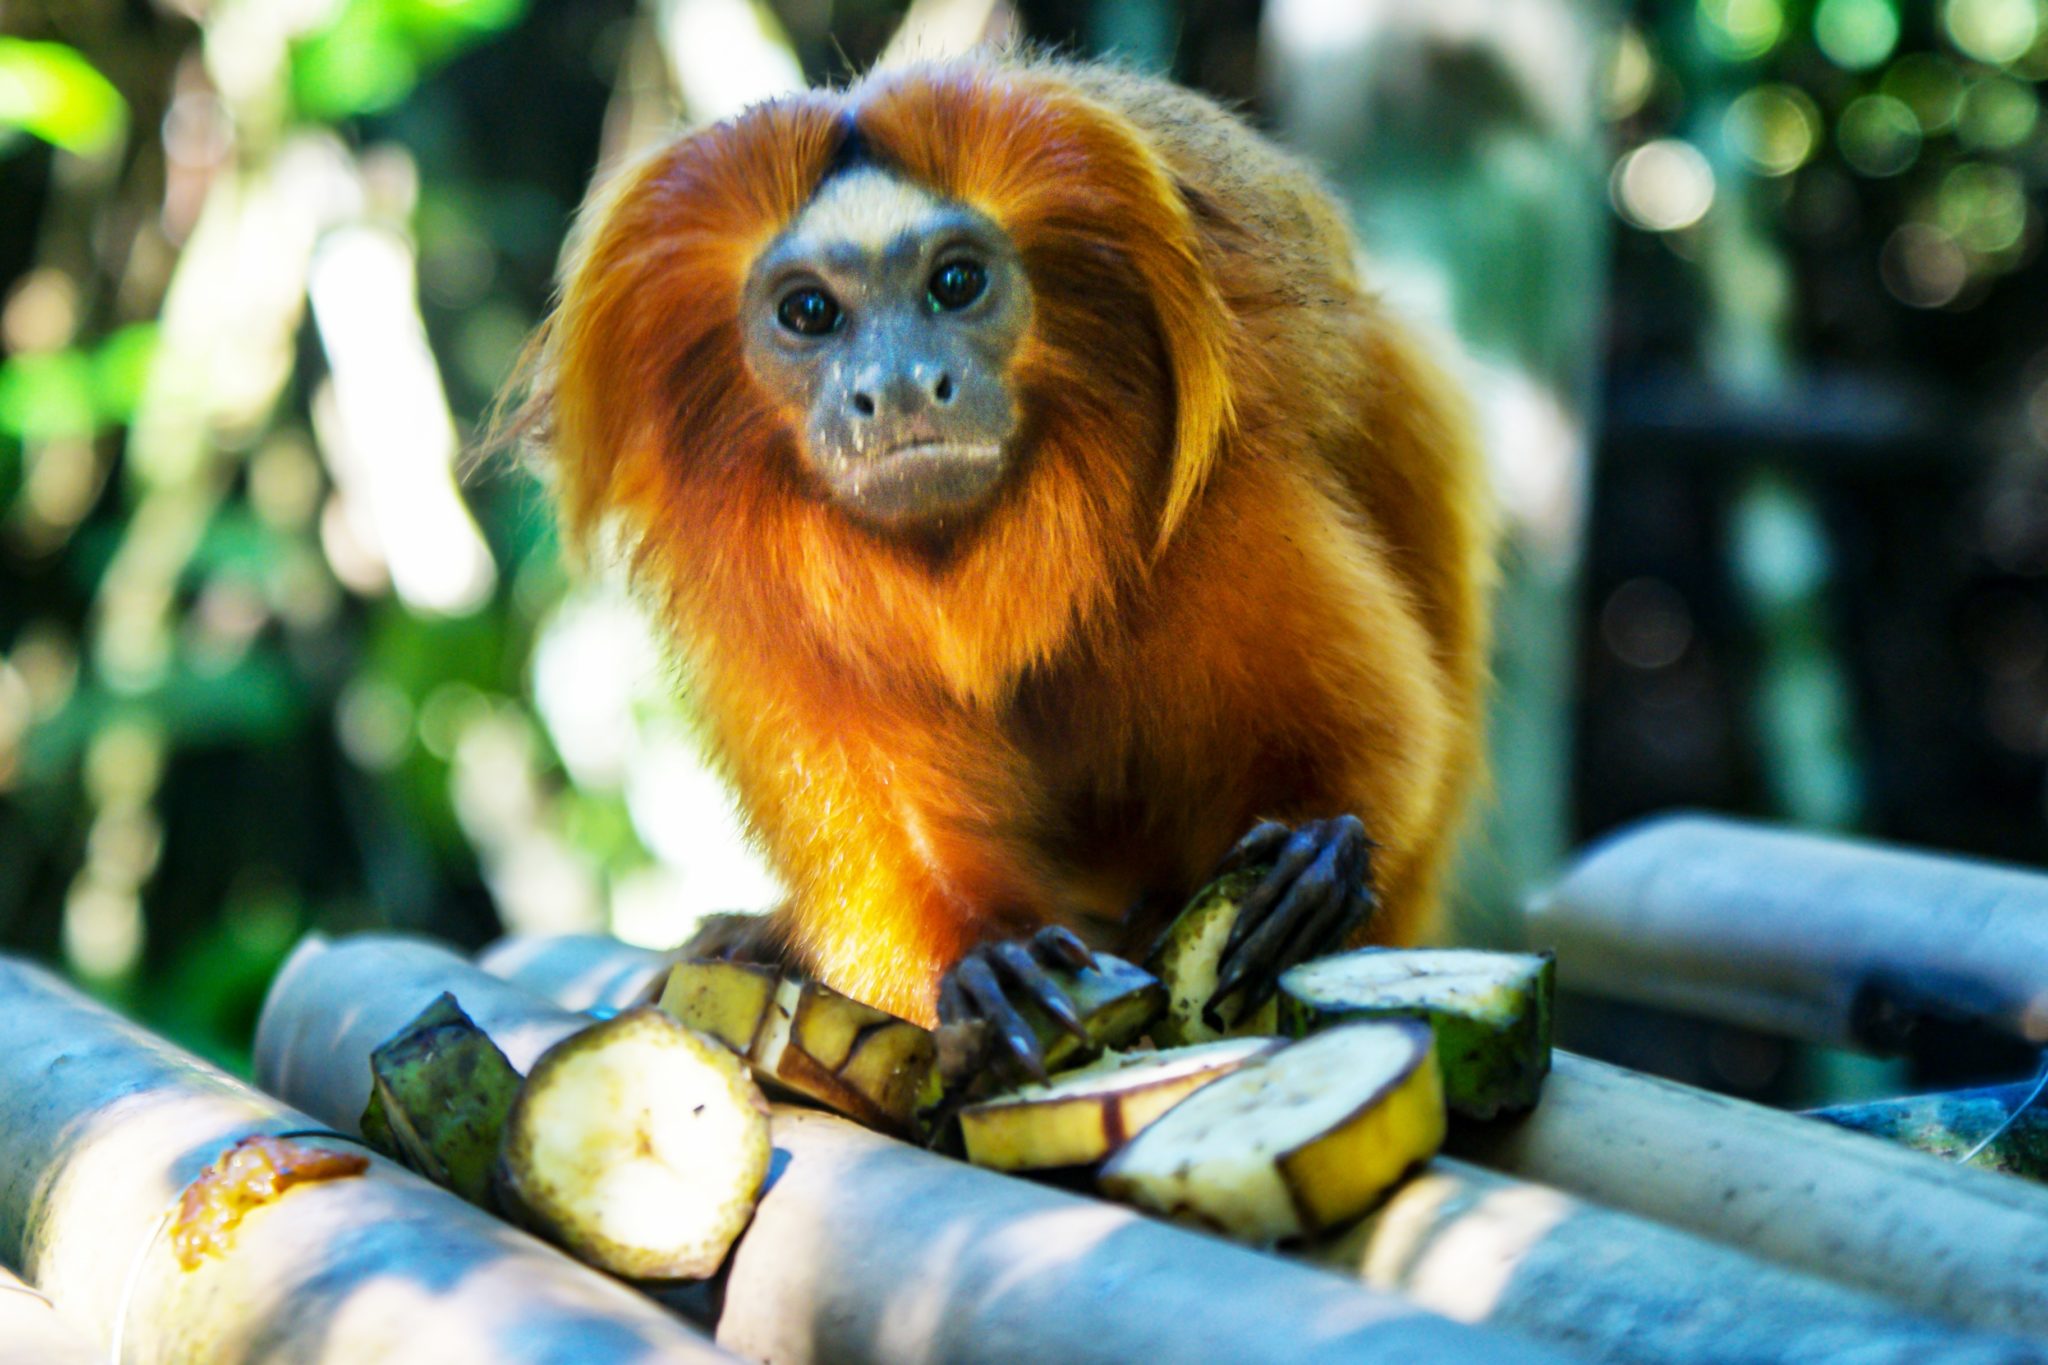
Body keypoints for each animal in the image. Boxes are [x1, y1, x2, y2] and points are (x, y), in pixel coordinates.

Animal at [510, 53, 1495, 1082]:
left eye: (955, 283)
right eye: (809, 312)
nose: (900, 386)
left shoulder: (1221, 508)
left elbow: (1373, 733)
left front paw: (1315, 841)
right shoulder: (781, 616)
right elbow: (889, 846)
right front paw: (989, 955)